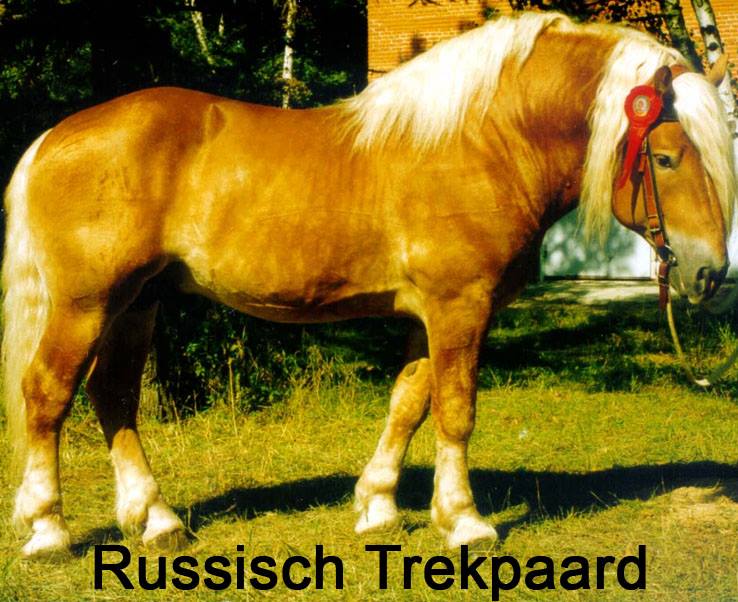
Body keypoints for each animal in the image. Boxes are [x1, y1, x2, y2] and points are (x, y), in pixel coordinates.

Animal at [3, 12, 735, 558]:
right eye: (665, 157)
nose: (709, 271)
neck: (485, 142)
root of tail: (53, 137)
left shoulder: (427, 315)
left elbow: (407, 405)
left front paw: (378, 506)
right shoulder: (460, 308)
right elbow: (456, 411)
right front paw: (465, 521)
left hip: (137, 302)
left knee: (114, 397)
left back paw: (158, 522)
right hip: (86, 303)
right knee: (48, 395)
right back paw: (48, 529)